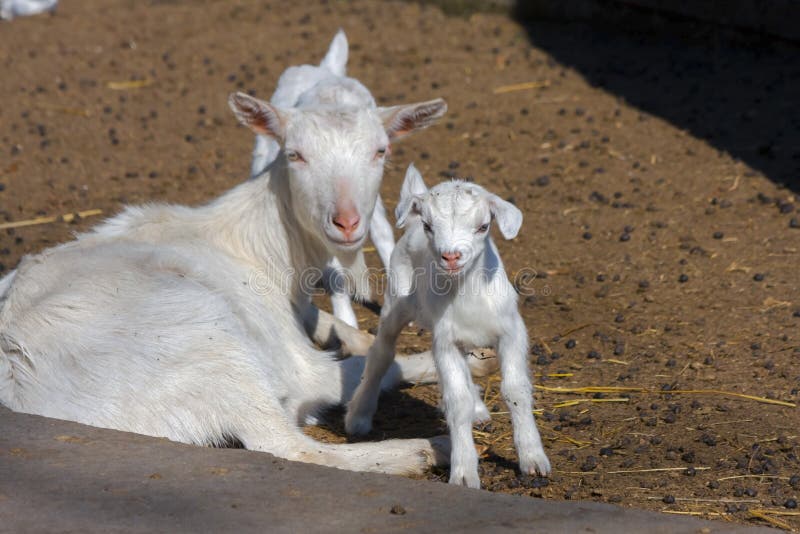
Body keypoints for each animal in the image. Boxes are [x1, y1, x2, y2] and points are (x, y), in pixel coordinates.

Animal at [345, 164, 551, 487]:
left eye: (483, 226)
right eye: (430, 226)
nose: (451, 256)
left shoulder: (512, 332)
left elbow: (516, 390)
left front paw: (532, 458)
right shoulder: (445, 343)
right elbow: (456, 401)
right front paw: (464, 472)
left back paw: (478, 409)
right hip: (396, 303)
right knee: (381, 354)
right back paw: (359, 416)